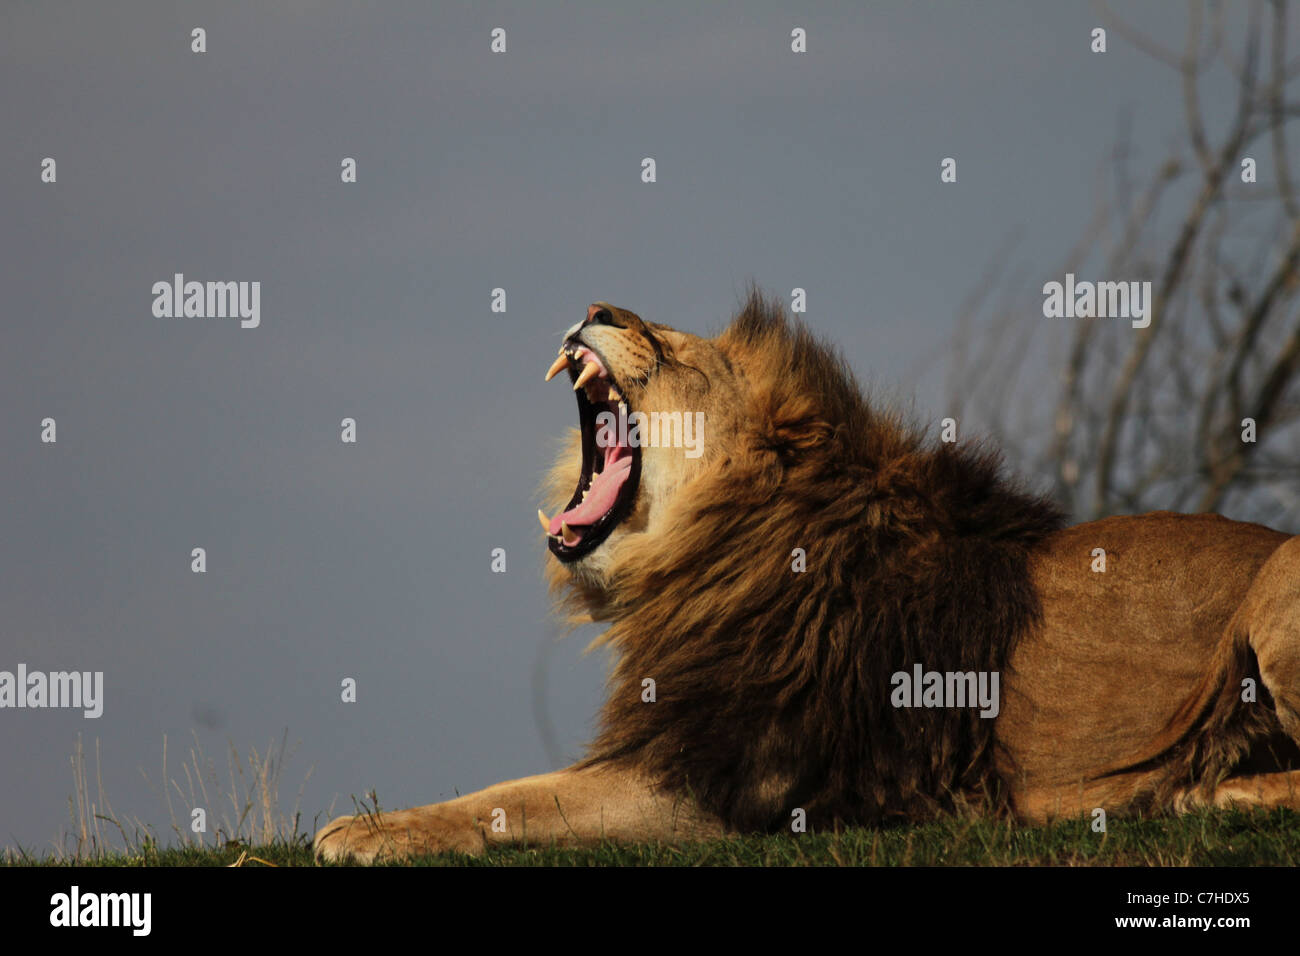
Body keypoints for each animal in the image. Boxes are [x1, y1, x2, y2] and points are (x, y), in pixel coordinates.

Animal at [314, 291, 1300, 862]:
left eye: (670, 351)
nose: (598, 304)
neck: (716, 555)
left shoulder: (717, 788)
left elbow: (514, 799)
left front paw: (367, 829)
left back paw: (1202, 788)